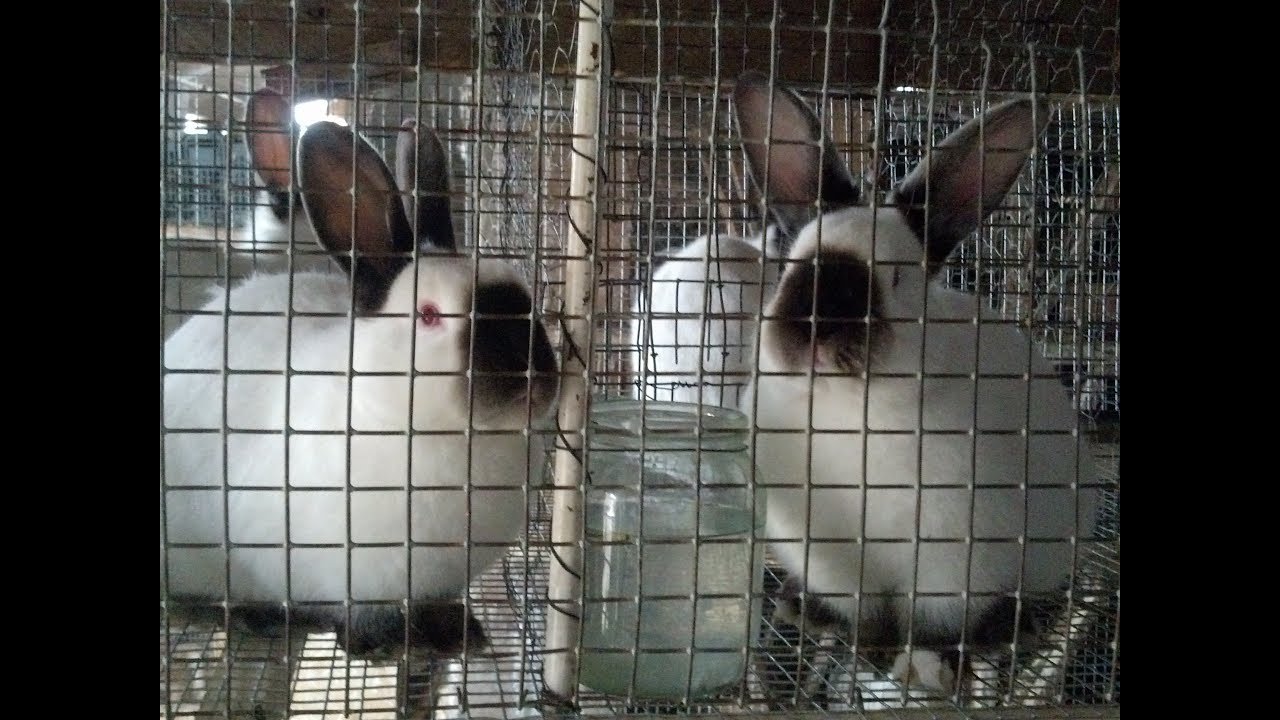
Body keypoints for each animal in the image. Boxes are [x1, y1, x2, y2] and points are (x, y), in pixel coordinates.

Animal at [161, 117, 560, 659]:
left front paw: (459, 632)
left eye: (523, 292)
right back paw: (253, 616)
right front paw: (375, 643)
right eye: (429, 316)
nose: (537, 381)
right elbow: (358, 610)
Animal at [732, 72, 1099, 696]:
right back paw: (800, 611)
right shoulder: (829, 557)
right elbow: (864, 615)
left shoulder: (953, 563)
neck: (849, 408)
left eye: (899, 276)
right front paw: (868, 644)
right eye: (794, 263)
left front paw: (921, 666)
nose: (819, 327)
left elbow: (932, 625)